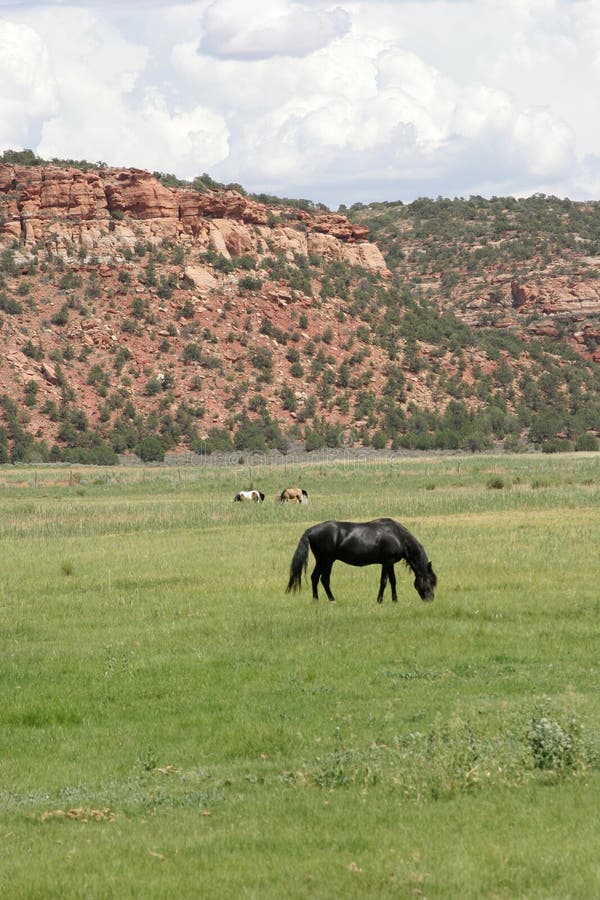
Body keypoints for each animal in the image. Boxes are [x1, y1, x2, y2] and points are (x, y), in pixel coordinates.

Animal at [286, 517, 437, 603]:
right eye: (430, 581)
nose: (430, 600)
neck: (397, 535)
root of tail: (311, 530)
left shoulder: (390, 563)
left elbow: (393, 581)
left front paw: (395, 600)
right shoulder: (387, 562)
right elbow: (384, 581)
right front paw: (379, 601)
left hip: (321, 561)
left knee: (314, 577)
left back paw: (316, 600)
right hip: (327, 560)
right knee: (324, 579)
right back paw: (332, 600)